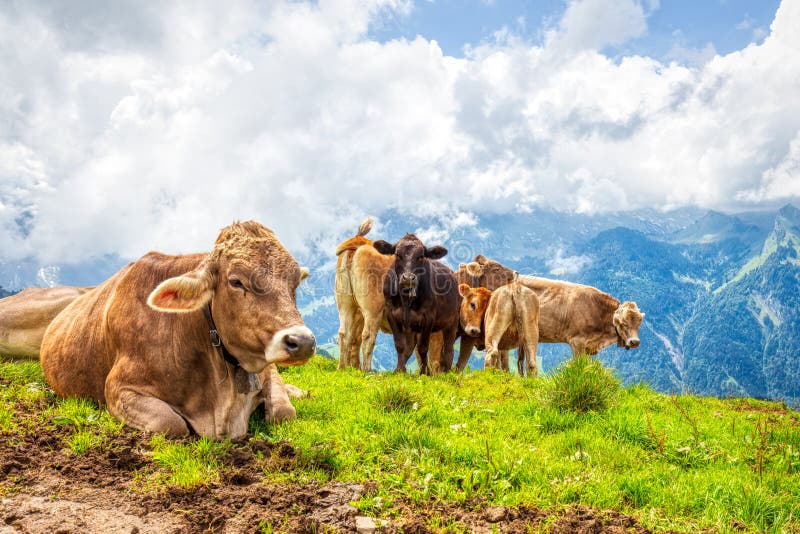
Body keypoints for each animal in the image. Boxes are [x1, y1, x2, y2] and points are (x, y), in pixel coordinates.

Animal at [40, 221, 316, 438]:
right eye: (236, 282)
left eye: (294, 284)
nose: (302, 342)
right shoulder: (118, 388)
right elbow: (172, 424)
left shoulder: (267, 370)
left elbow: (283, 412)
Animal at [373, 234, 460, 374]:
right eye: (397, 254)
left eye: (421, 256)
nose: (408, 278)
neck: (406, 300)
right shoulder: (391, 313)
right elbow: (400, 345)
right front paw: (400, 371)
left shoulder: (428, 317)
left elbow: (423, 347)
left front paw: (425, 372)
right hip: (411, 327)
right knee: (409, 347)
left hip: (452, 321)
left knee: (448, 349)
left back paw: (445, 372)